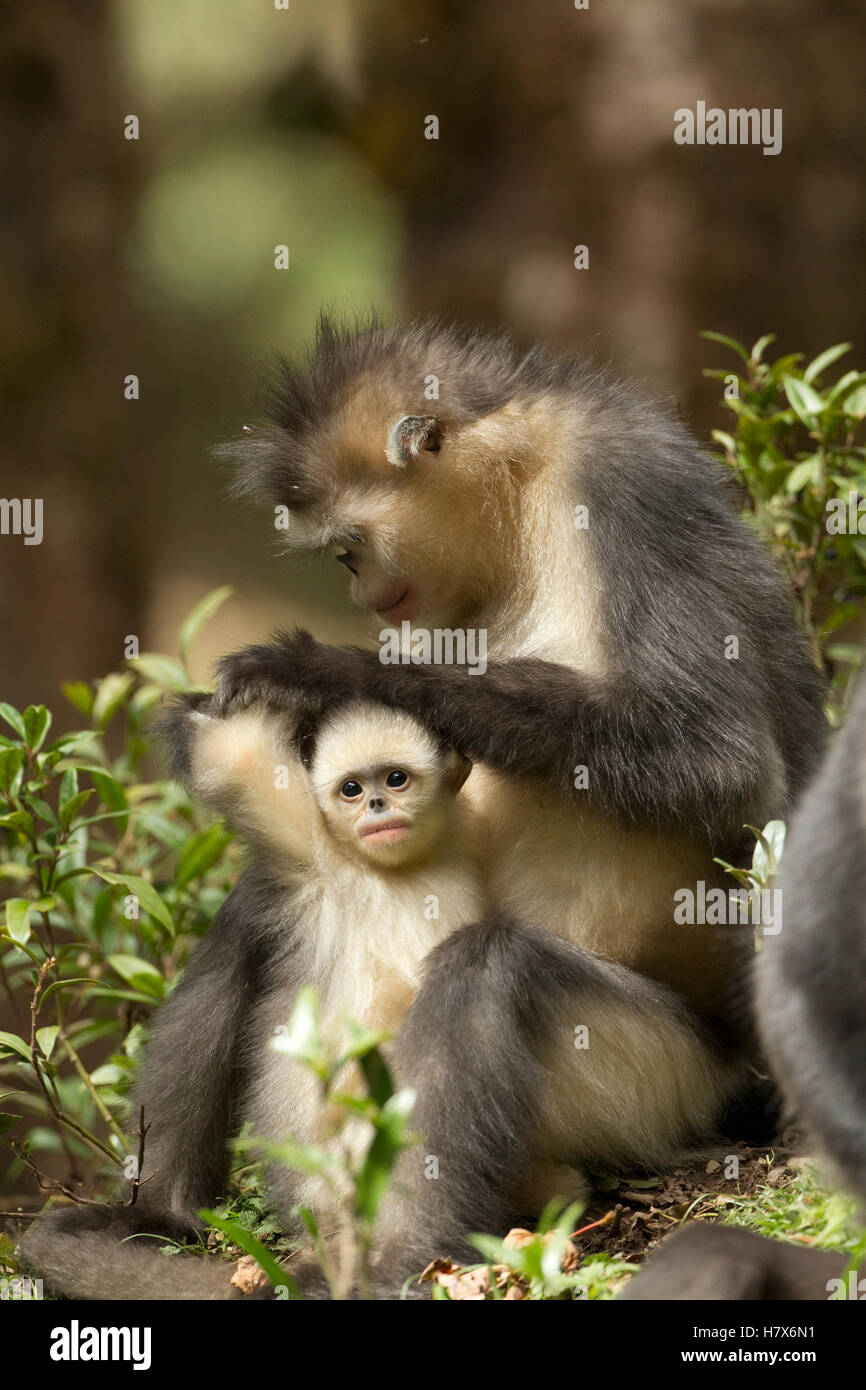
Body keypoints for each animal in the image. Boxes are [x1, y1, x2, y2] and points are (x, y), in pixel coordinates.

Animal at [21, 315, 828, 1299]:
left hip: (666, 1084)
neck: (525, 484)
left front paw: (331, 674)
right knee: (261, 907)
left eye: (349, 546)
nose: (361, 593)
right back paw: (158, 1215)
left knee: (492, 970)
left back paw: (399, 1257)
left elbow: (723, 764)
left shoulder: (623, 484)